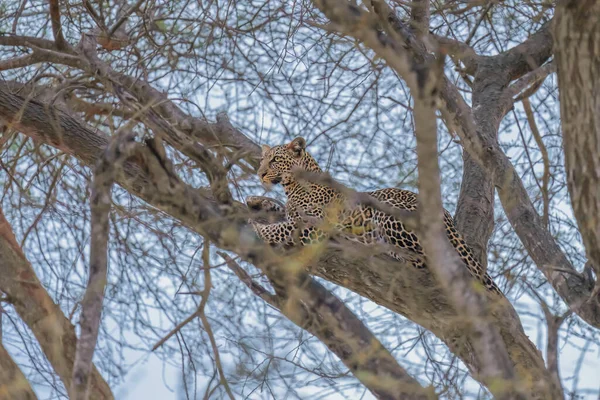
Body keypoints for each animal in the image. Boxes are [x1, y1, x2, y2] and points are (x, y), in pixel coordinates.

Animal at [246, 136, 504, 296]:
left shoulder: (314, 226)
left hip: (388, 212)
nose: (260, 173)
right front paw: (256, 200)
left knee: (423, 259)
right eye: (262, 160)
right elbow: (281, 210)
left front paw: (257, 229)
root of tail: (448, 219)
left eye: (275, 160)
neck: (293, 186)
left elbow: (281, 229)